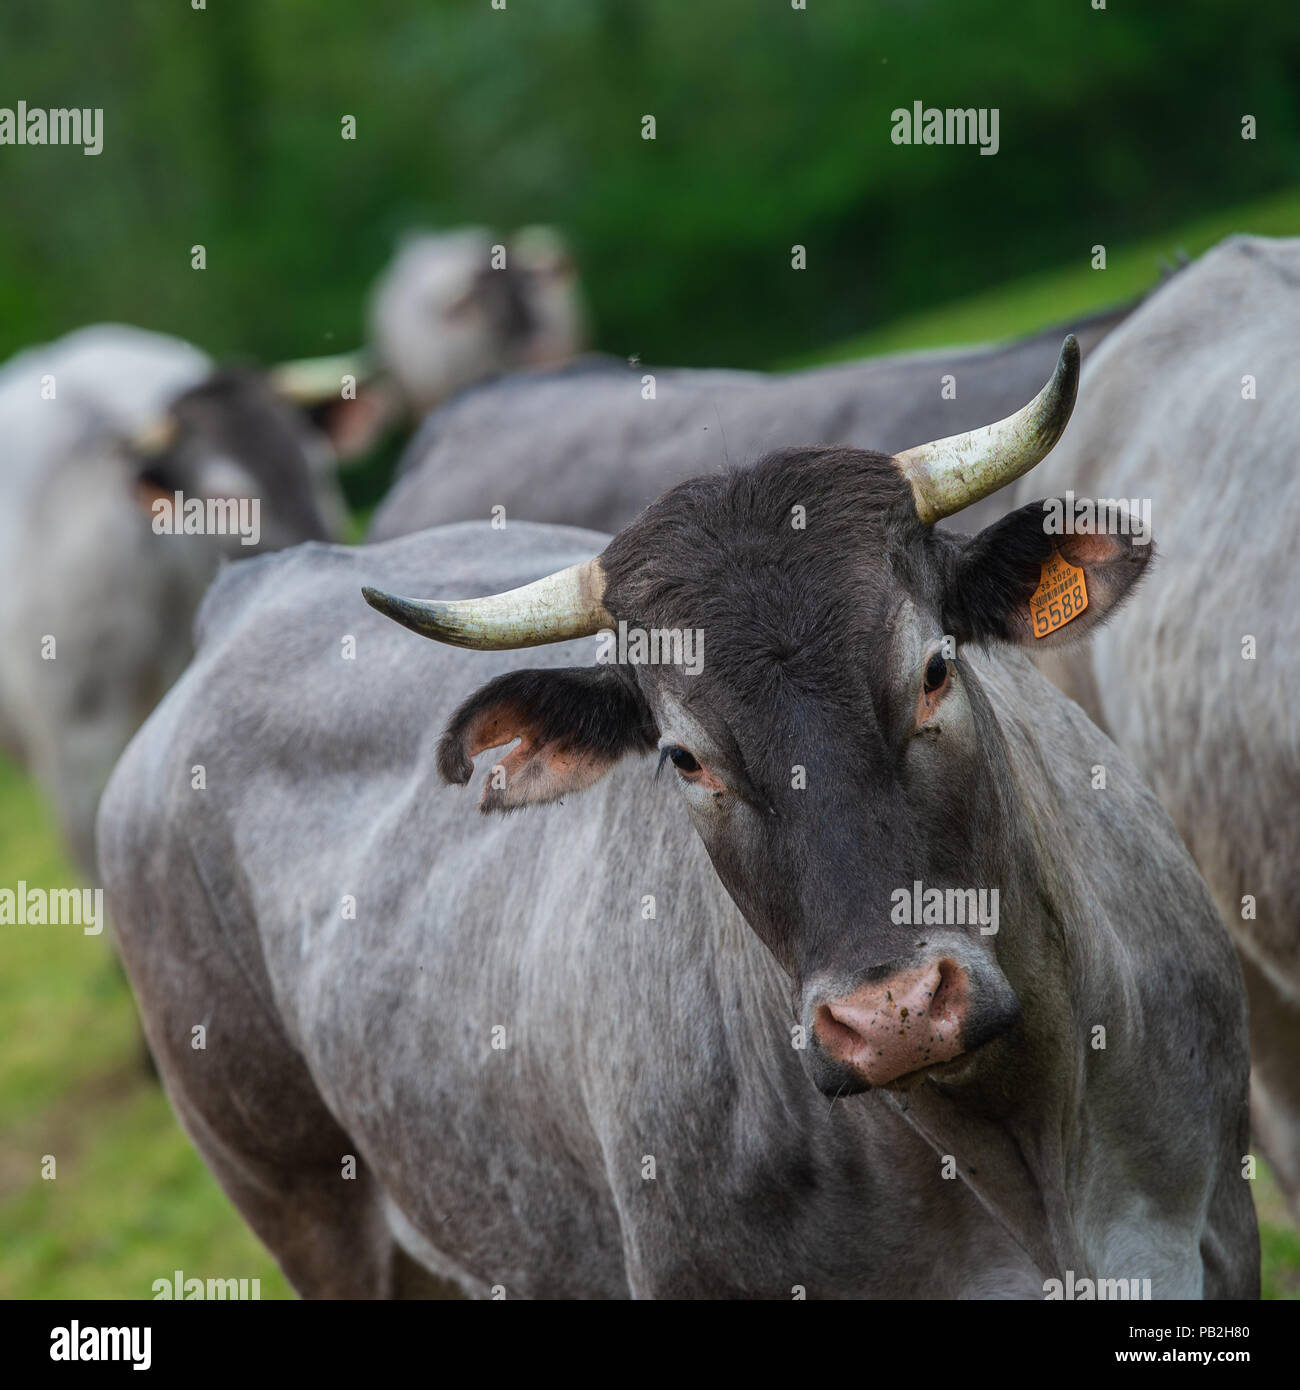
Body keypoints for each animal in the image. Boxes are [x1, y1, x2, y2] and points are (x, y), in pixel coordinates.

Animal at [98, 340, 1258, 1298]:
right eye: (683, 756)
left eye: (933, 668)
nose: (892, 1015)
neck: (1035, 1154)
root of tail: (254, 592)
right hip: (306, 1209)